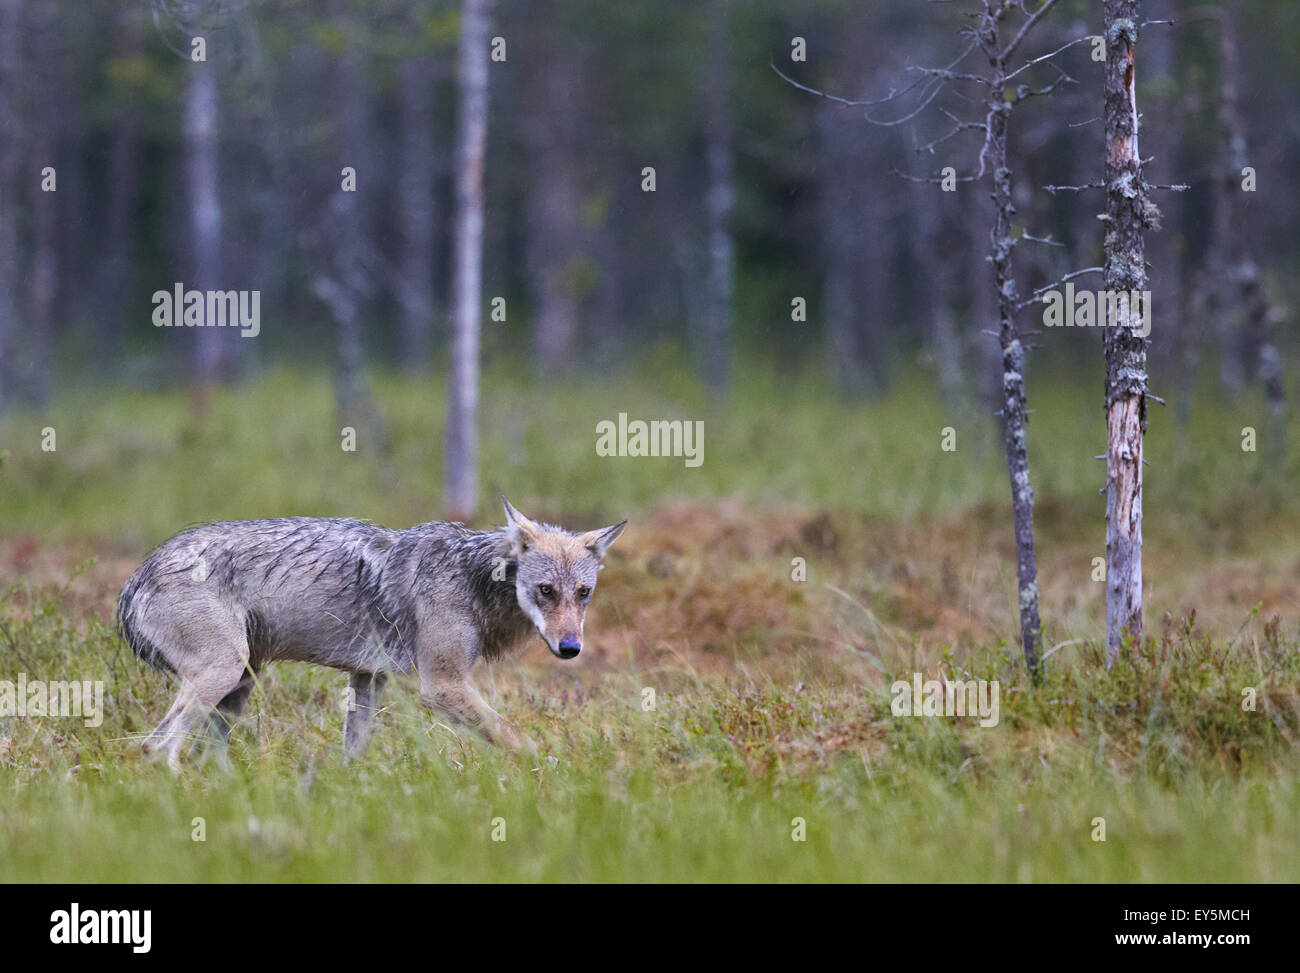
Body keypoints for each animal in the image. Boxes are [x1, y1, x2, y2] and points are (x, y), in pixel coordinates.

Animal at [117, 497, 626, 768]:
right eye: (545, 590)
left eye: (583, 593)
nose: (571, 649)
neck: (474, 577)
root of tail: (135, 578)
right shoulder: (442, 686)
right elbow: (517, 738)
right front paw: (558, 774)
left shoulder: (368, 679)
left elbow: (352, 757)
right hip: (223, 674)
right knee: (155, 747)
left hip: (240, 685)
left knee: (200, 755)